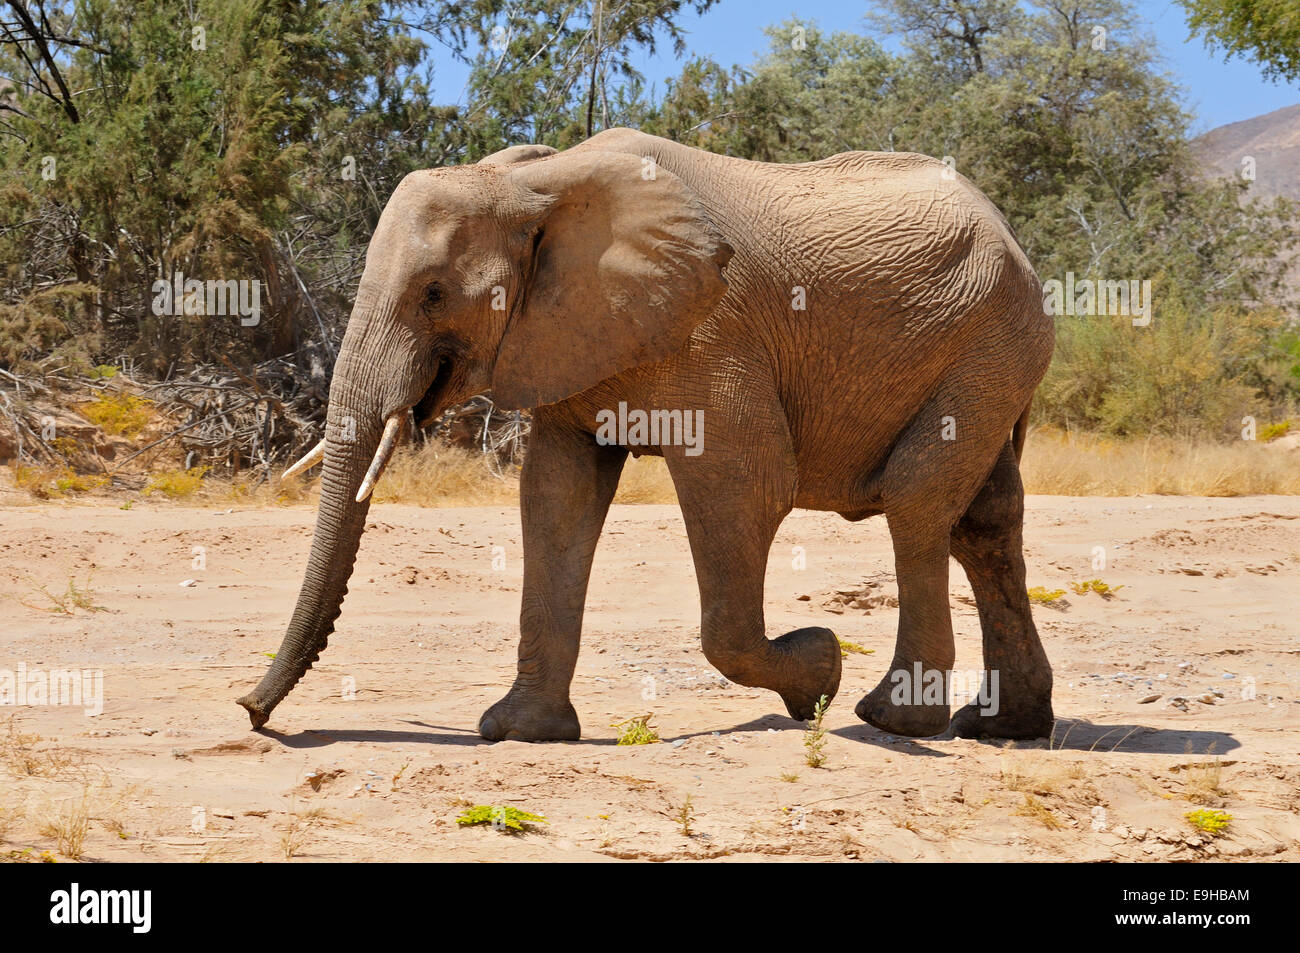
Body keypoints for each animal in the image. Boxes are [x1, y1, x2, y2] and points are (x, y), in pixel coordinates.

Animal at [238, 127, 1055, 743]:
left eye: (433, 294)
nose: (250, 711)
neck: (534, 183)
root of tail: (1009, 229)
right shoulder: (571, 337)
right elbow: (556, 497)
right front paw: (520, 731)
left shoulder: (714, 333)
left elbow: (745, 486)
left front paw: (818, 672)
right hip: (991, 353)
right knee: (984, 521)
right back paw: (1002, 727)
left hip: (991, 339)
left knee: (917, 501)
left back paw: (892, 719)